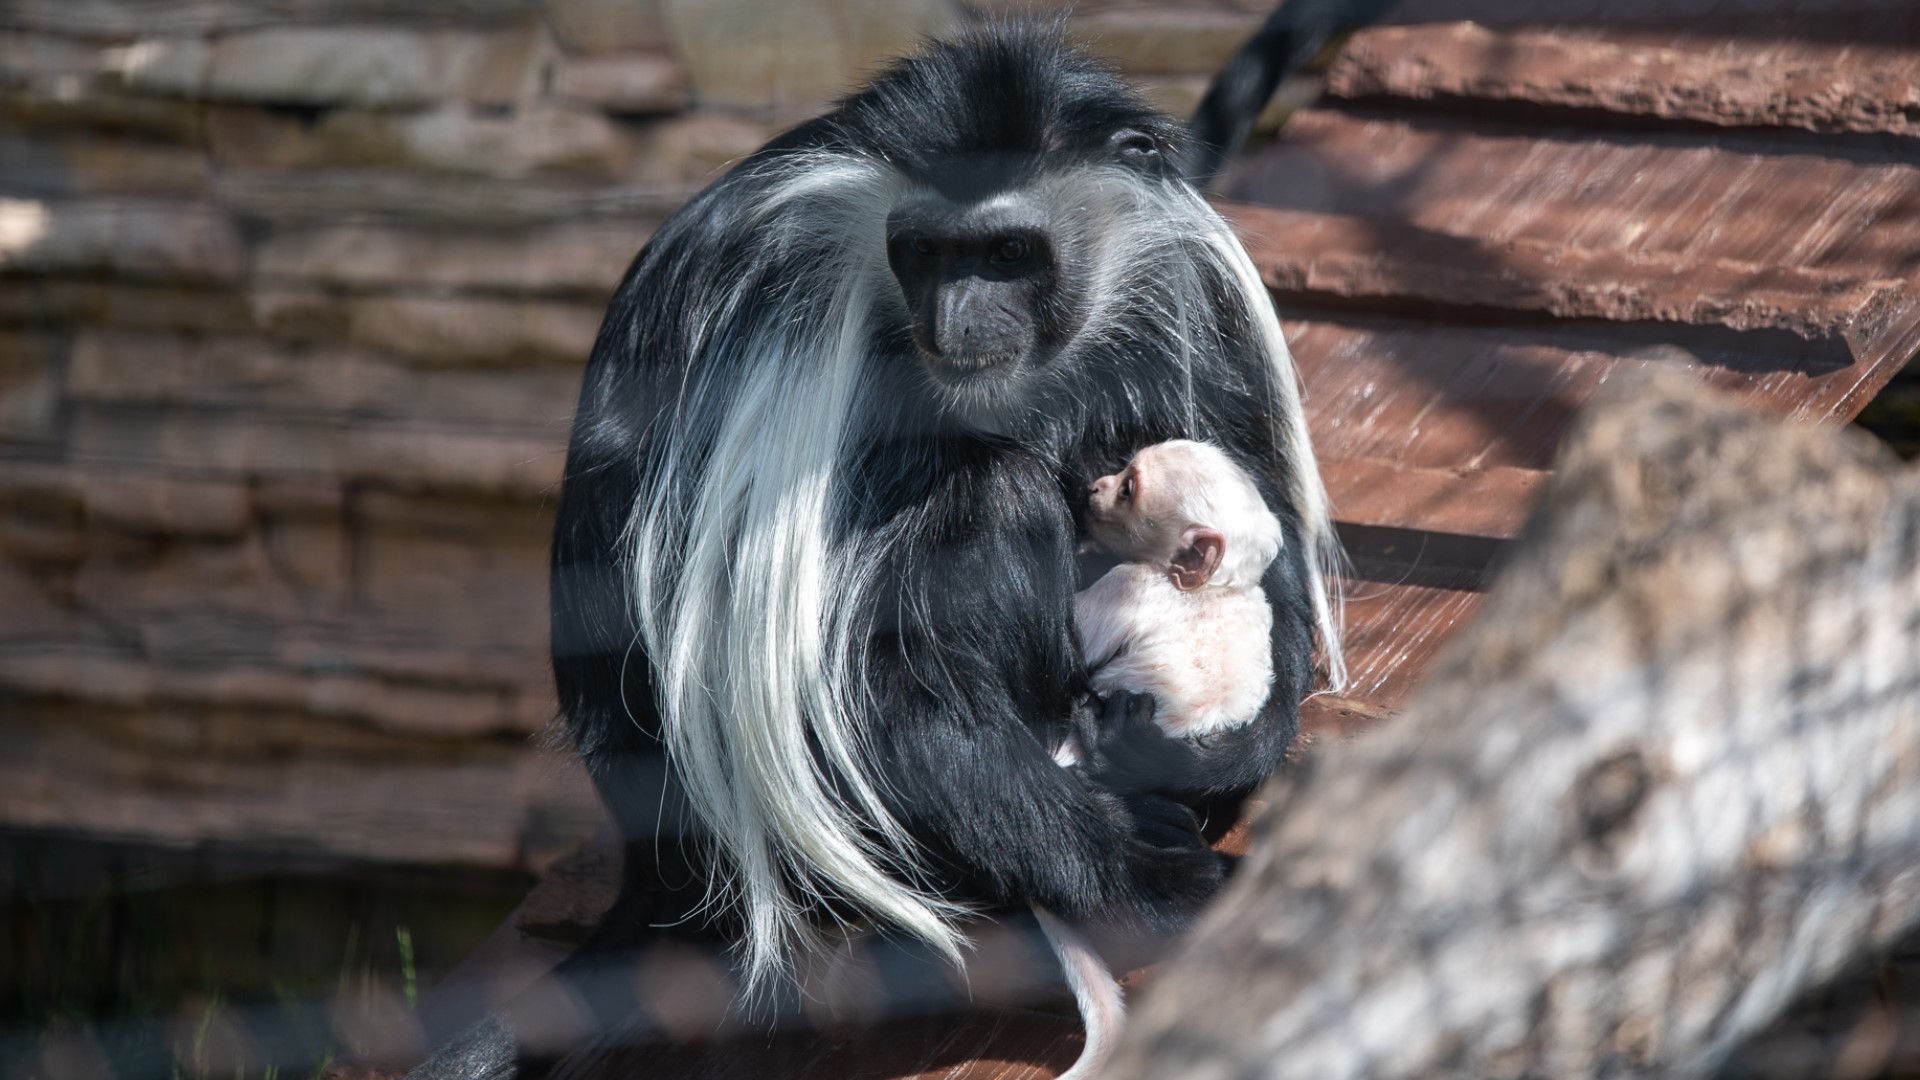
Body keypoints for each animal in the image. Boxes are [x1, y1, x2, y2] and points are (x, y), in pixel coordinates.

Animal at [407, 7, 1392, 1077]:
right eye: (924, 251)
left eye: (1006, 253)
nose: (958, 319)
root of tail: (662, 869)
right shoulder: (800, 344)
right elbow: (867, 690)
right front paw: (1139, 870)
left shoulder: (1182, 284)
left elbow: (1258, 529)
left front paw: (1217, 749)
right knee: (990, 502)